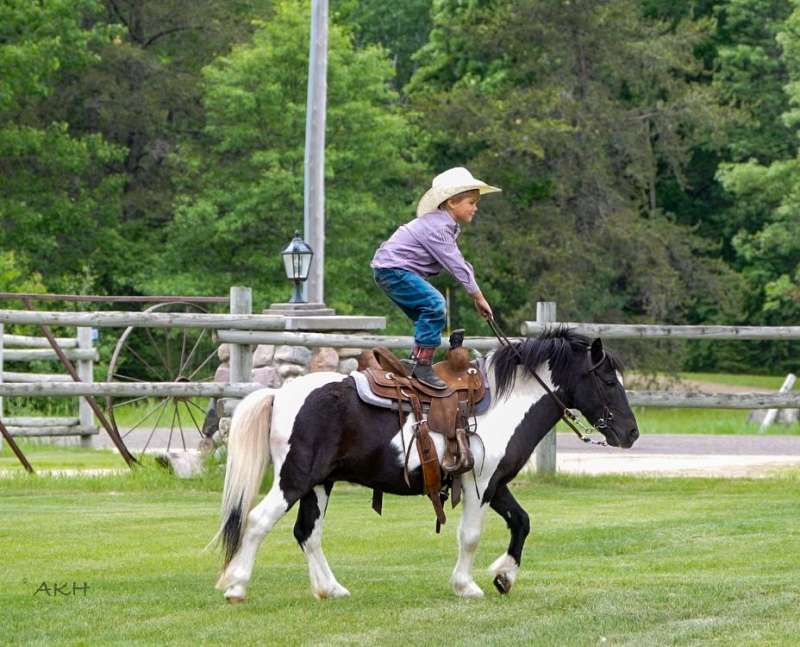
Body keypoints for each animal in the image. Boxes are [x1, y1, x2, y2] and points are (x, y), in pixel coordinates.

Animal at [212, 327, 639, 601]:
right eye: (609, 381)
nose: (631, 433)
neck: (503, 403)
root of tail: (279, 394)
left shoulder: (496, 483)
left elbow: (522, 521)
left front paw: (504, 576)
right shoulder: (479, 483)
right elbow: (470, 536)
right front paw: (467, 585)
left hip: (320, 483)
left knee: (308, 533)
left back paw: (330, 589)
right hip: (294, 478)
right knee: (258, 521)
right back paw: (237, 587)